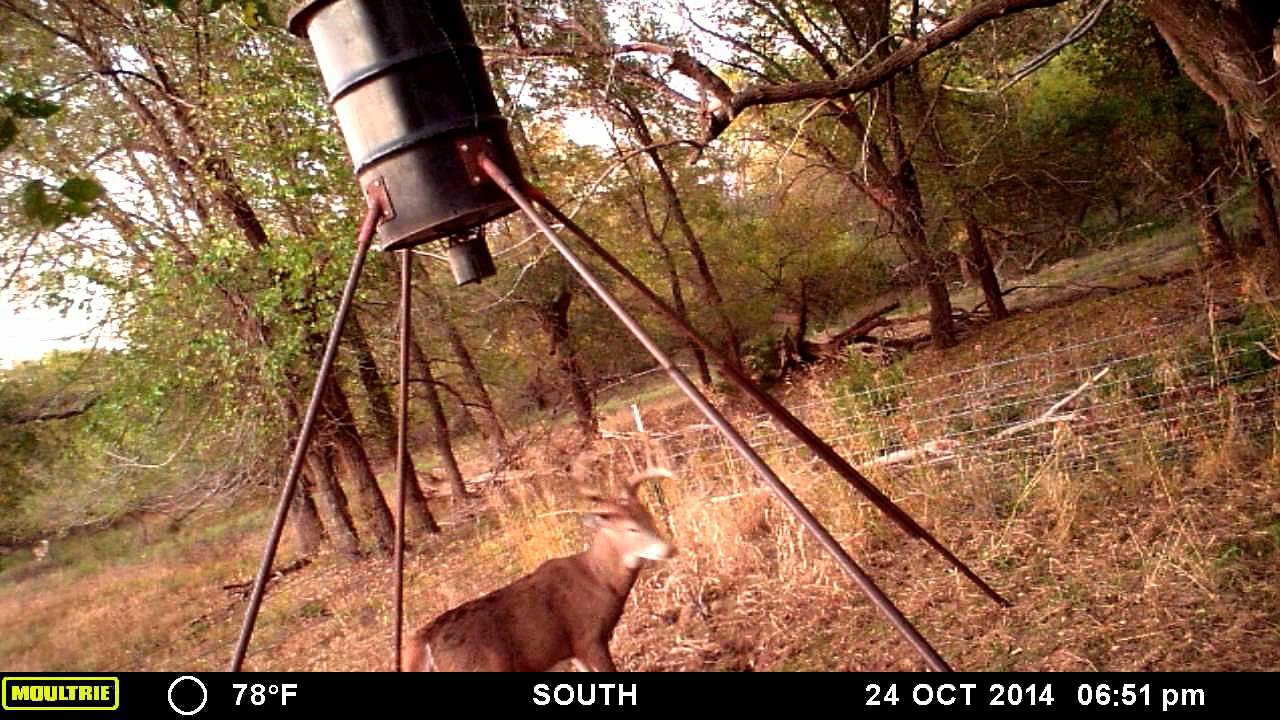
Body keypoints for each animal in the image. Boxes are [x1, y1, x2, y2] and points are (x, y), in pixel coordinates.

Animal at [402, 468, 676, 672]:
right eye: (631, 528)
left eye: (647, 517)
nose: (669, 549)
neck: (601, 580)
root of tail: (422, 645)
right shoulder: (588, 637)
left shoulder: (571, 649)